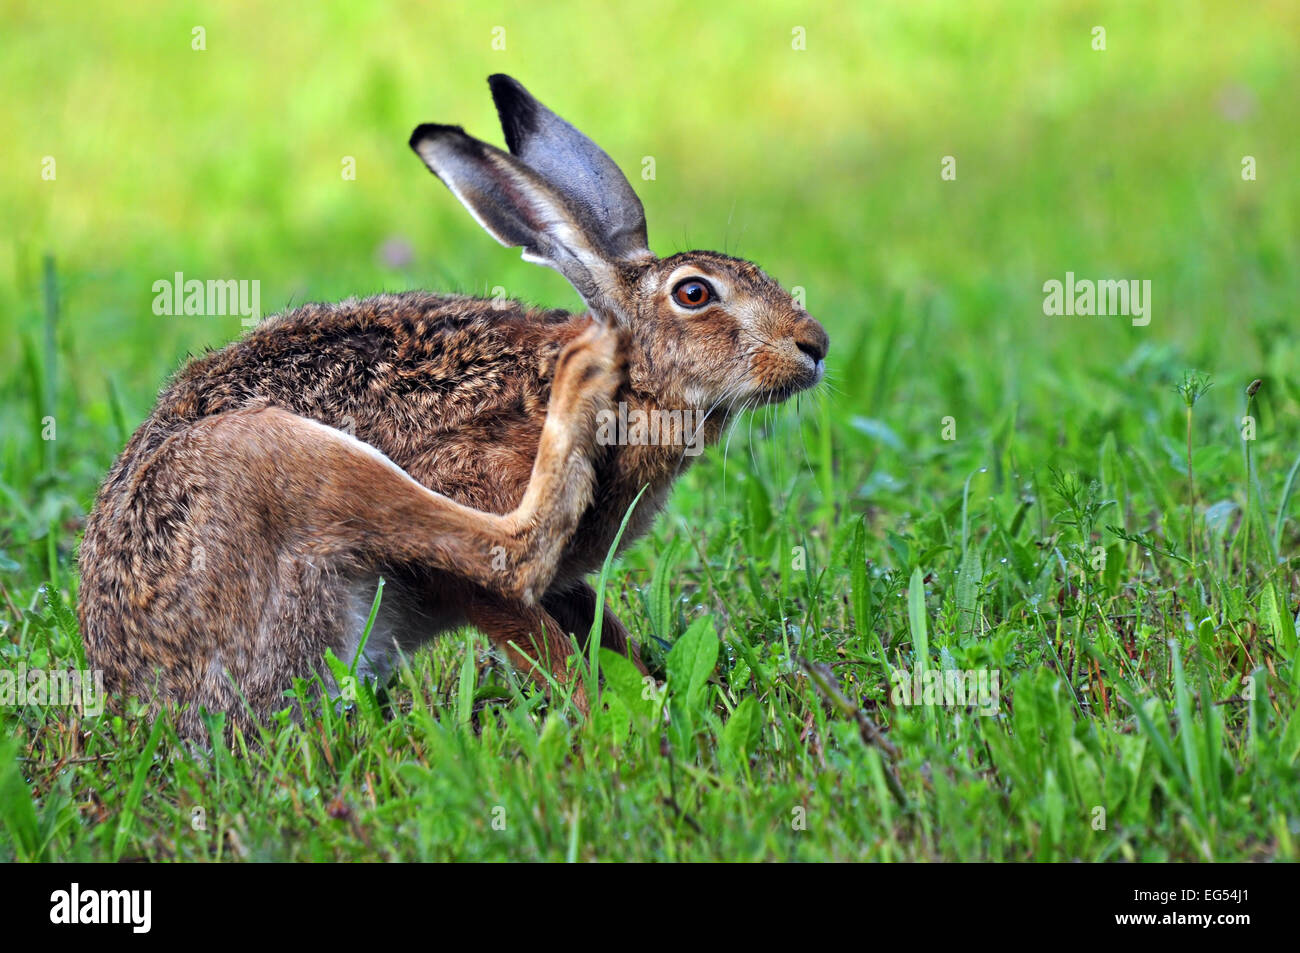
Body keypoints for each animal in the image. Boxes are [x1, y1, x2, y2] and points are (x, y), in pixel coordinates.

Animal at [78, 74, 829, 739]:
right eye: (695, 294)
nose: (815, 345)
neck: (638, 384)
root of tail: (150, 697)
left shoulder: (568, 586)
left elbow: (603, 632)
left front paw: (654, 694)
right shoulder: (465, 520)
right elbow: (535, 630)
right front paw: (614, 718)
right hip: (274, 457)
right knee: (508, 549)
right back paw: (582, 373)